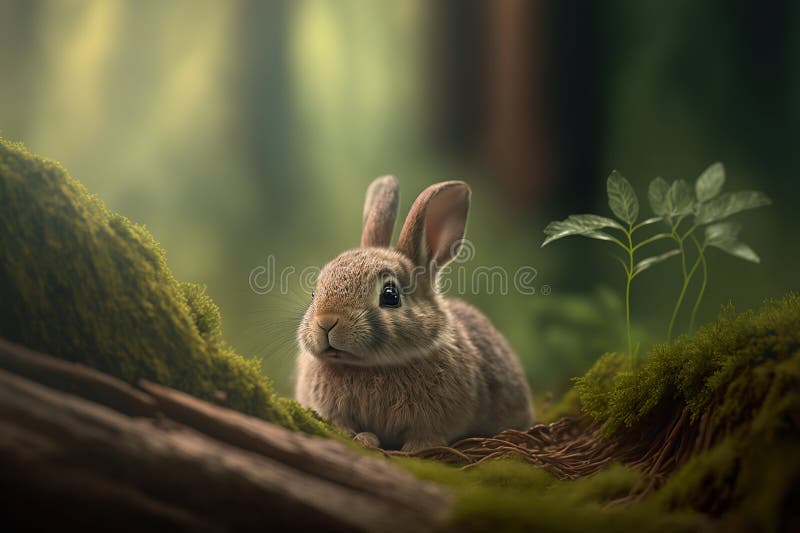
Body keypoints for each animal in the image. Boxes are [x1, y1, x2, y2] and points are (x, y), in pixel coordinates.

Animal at [295, 175, 534, 451]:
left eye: (390, 295)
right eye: (314, 293)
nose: (327, 322)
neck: (369, 367)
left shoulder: (434, 419)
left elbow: (425, 436)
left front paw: (415, 448)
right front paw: (364, 439)